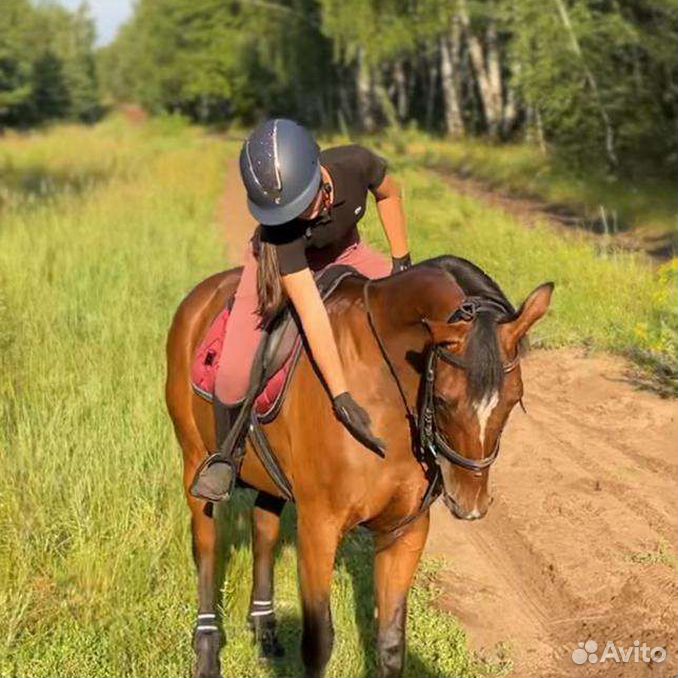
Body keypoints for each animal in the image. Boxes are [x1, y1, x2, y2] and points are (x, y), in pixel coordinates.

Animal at [165, 255, 553, 678]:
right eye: (445, 400)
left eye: (514, 400)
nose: (471, 504)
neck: (384, 387)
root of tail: (200, 296)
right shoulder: (319, 527)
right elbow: (319, 642)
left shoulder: (407, 530)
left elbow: (391, 644)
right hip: (194, 460)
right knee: (206, 544)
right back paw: (206, 651)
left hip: (267, 476)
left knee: (264, 530)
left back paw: (265, 633)